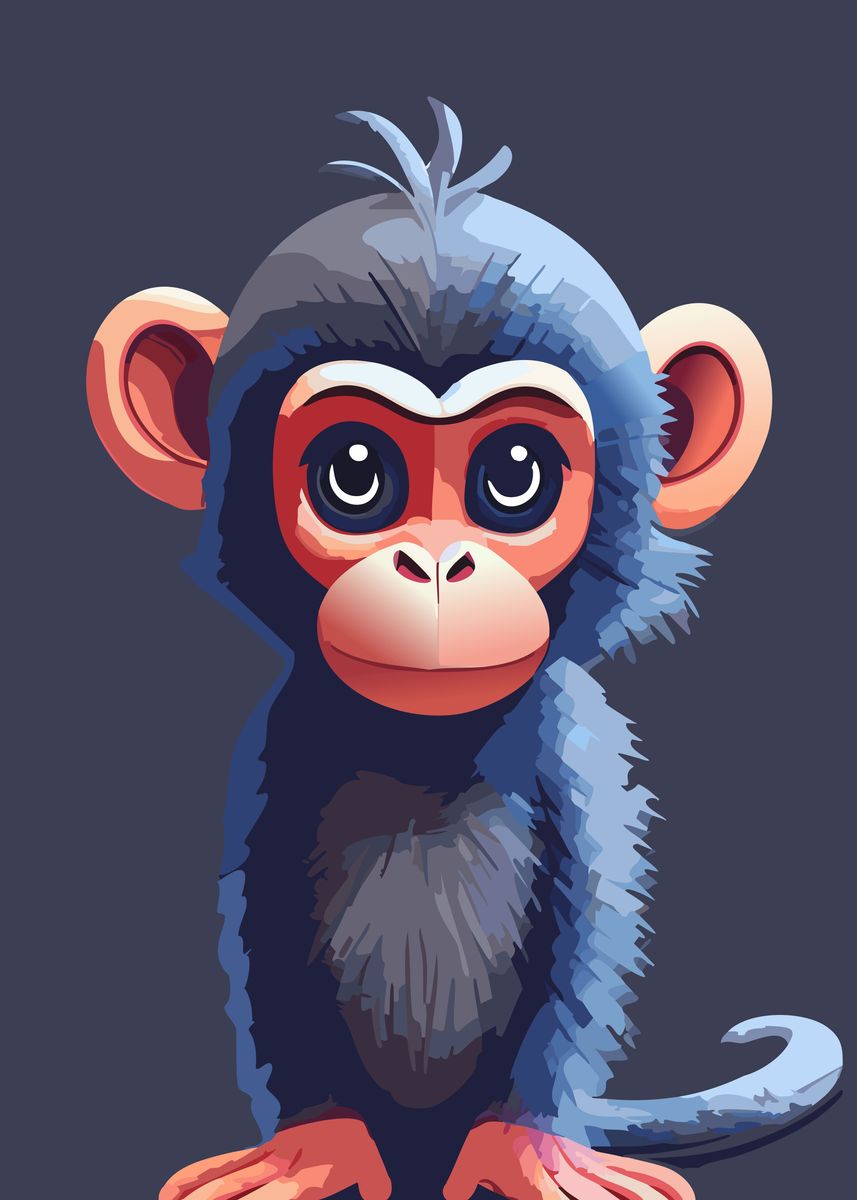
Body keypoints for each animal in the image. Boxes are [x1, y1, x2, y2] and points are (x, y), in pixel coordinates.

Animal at [86, 101, 842, 1200]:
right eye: (354, 473)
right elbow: (267, 942)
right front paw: (313, 1144)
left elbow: (580, 938)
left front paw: (523, 1146)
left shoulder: (568, 750)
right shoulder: (276, 746)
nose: (436, 565)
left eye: (513, 474)